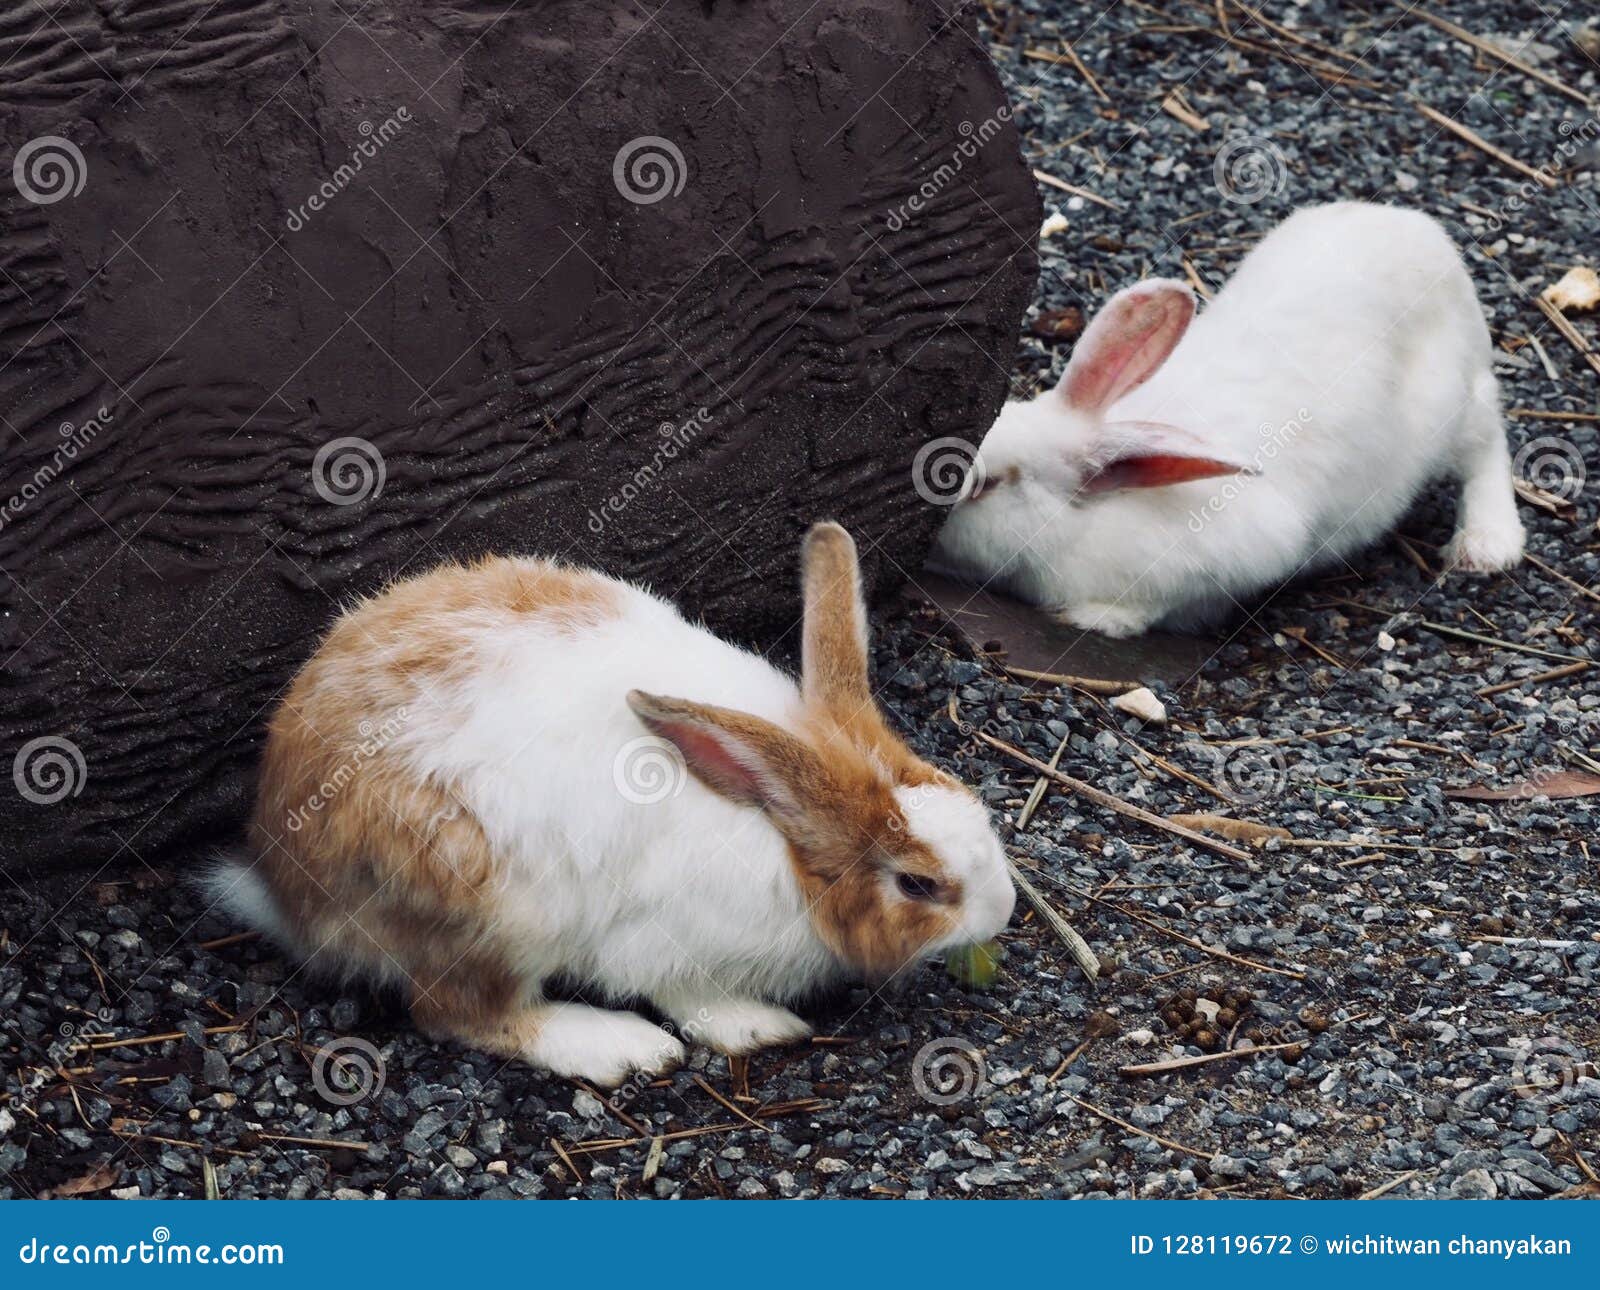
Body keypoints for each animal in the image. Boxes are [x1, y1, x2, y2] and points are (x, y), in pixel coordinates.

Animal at [205, 522, 1015, 1086]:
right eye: (918, 884)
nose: (1003, 911)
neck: (781, 837)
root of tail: (288, 884)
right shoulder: (660, 940)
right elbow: (683, 989)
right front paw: (757, 1028)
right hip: (498, 916)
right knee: (461, 1013)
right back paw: (616, 1048)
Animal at [932, 201, 1526, 637]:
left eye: (984, 485)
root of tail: (1427, 236)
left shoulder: (1230, 558)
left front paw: (1097, 618)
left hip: (1455, 408)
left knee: (1487, 446)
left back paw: (1486, 545)